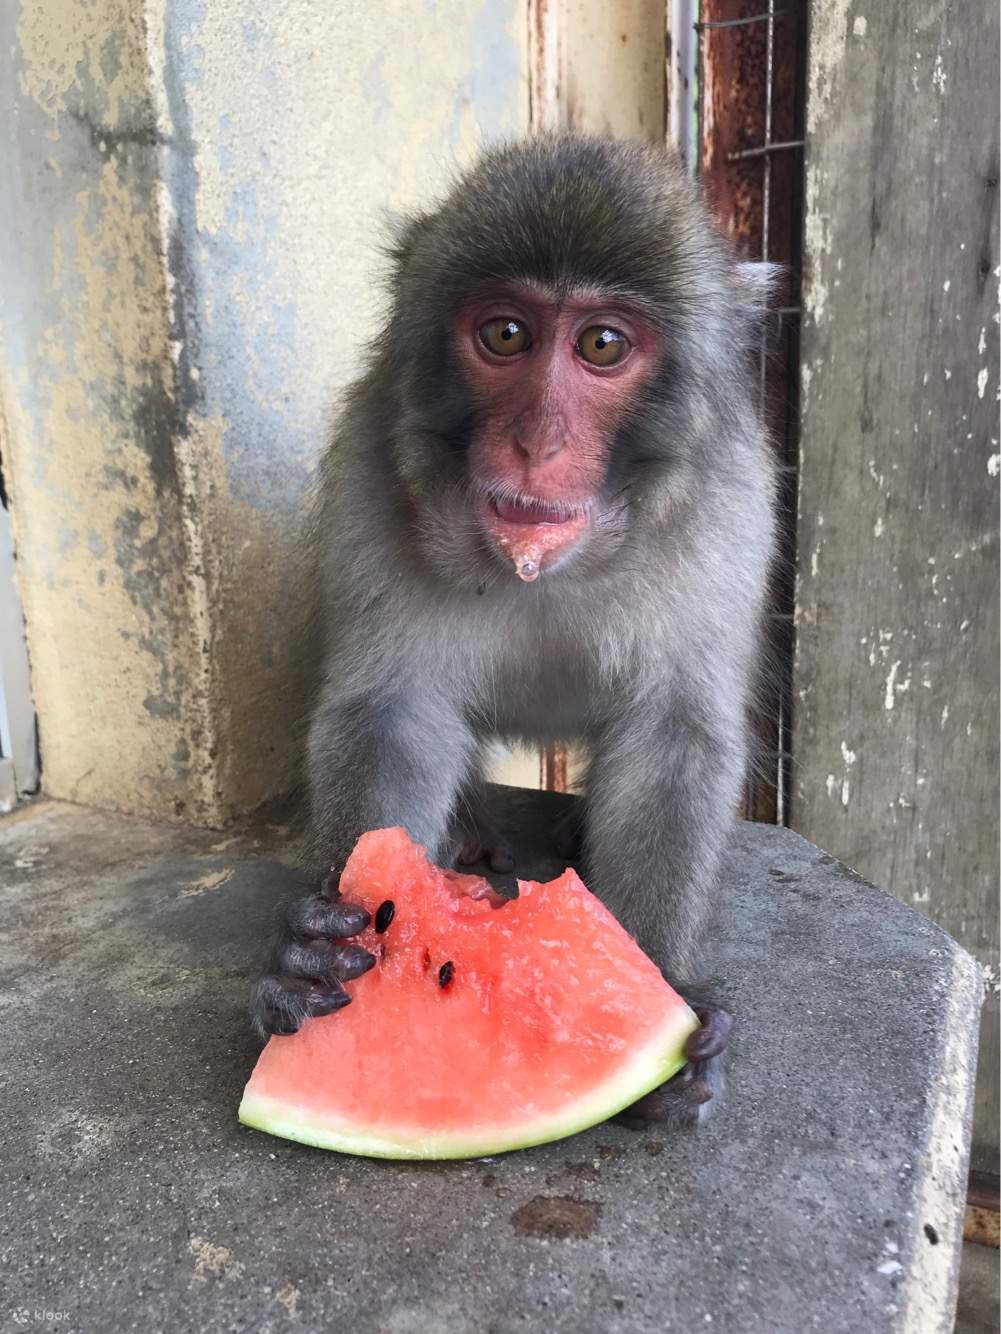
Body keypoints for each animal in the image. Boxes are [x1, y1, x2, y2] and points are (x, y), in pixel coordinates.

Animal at [251, 134, 776, 1127]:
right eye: (505, 335)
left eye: (602, 345)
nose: (538, 443)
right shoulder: (371, 475)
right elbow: (391, 714)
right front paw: (310, 959)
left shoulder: (728, 509)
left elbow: (672, 734)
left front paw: (660, 982)